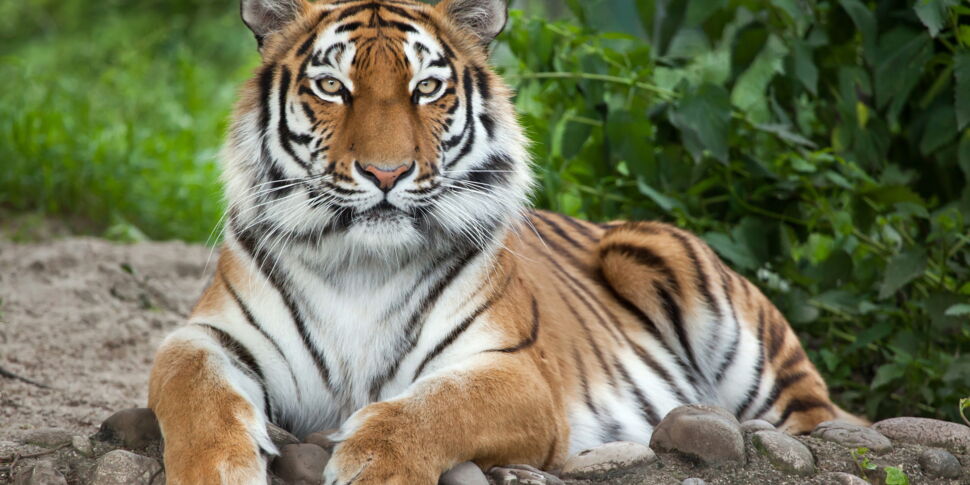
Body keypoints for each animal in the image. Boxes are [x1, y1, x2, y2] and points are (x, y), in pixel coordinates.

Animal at [146, 0, 865, 483]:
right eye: (332, 86)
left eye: (426, 88)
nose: (385, 173)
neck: (361, 263)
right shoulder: (209, 335)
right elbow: (195, 393)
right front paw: (217, 470)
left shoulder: (515, 370)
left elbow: (436, 406)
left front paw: (371, 462)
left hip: (686, 284)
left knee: (822, 420)